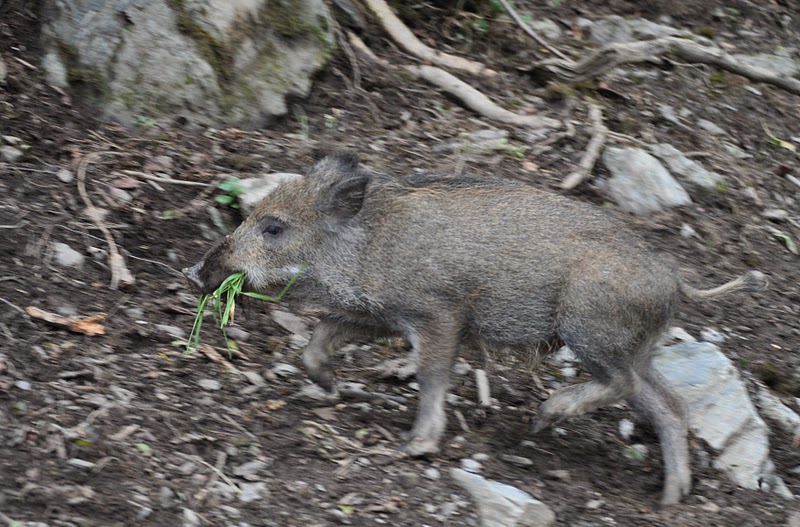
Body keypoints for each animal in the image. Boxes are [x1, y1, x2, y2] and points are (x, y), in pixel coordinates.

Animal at [184, 153, 767, 506]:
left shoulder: (440, 315)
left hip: (590, 326)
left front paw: (416, 448)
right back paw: (670, 497)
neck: (366, 247)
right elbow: (319, 339)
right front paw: (329, 387)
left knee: (625, 386)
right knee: (669, 405)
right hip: (634, 347)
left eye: (273, 228)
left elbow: (433, 376)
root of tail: (674, 280)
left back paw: (544, 418)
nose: (196, 272)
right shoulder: (375, 315)